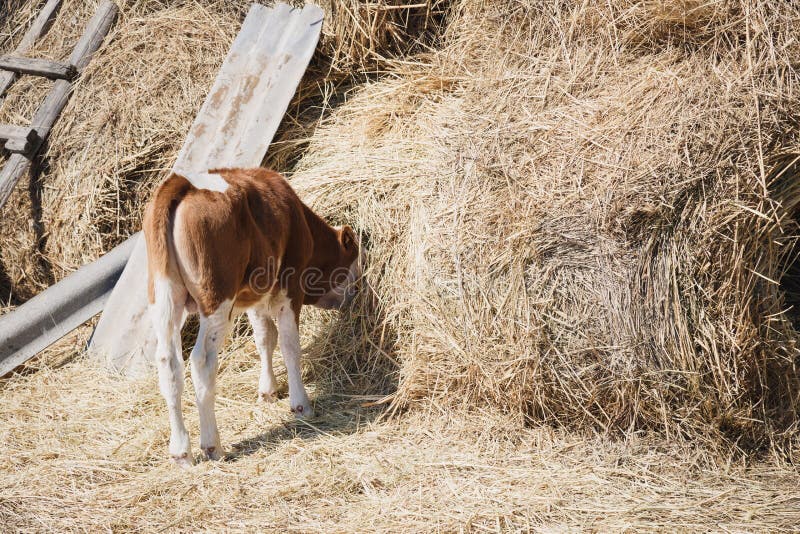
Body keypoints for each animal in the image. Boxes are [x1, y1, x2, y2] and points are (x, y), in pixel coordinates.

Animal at [143, 167, 361, 466]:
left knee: (169, 364)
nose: (356, 294)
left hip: (163, 297)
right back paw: (212, 445)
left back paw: (181, 451)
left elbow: (265, 339)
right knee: (202, 361)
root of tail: (183, 183)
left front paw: (267, 390)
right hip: (217, 296)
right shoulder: (290, 287)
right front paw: (301, 405)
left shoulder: (255, 297)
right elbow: (289, 346)